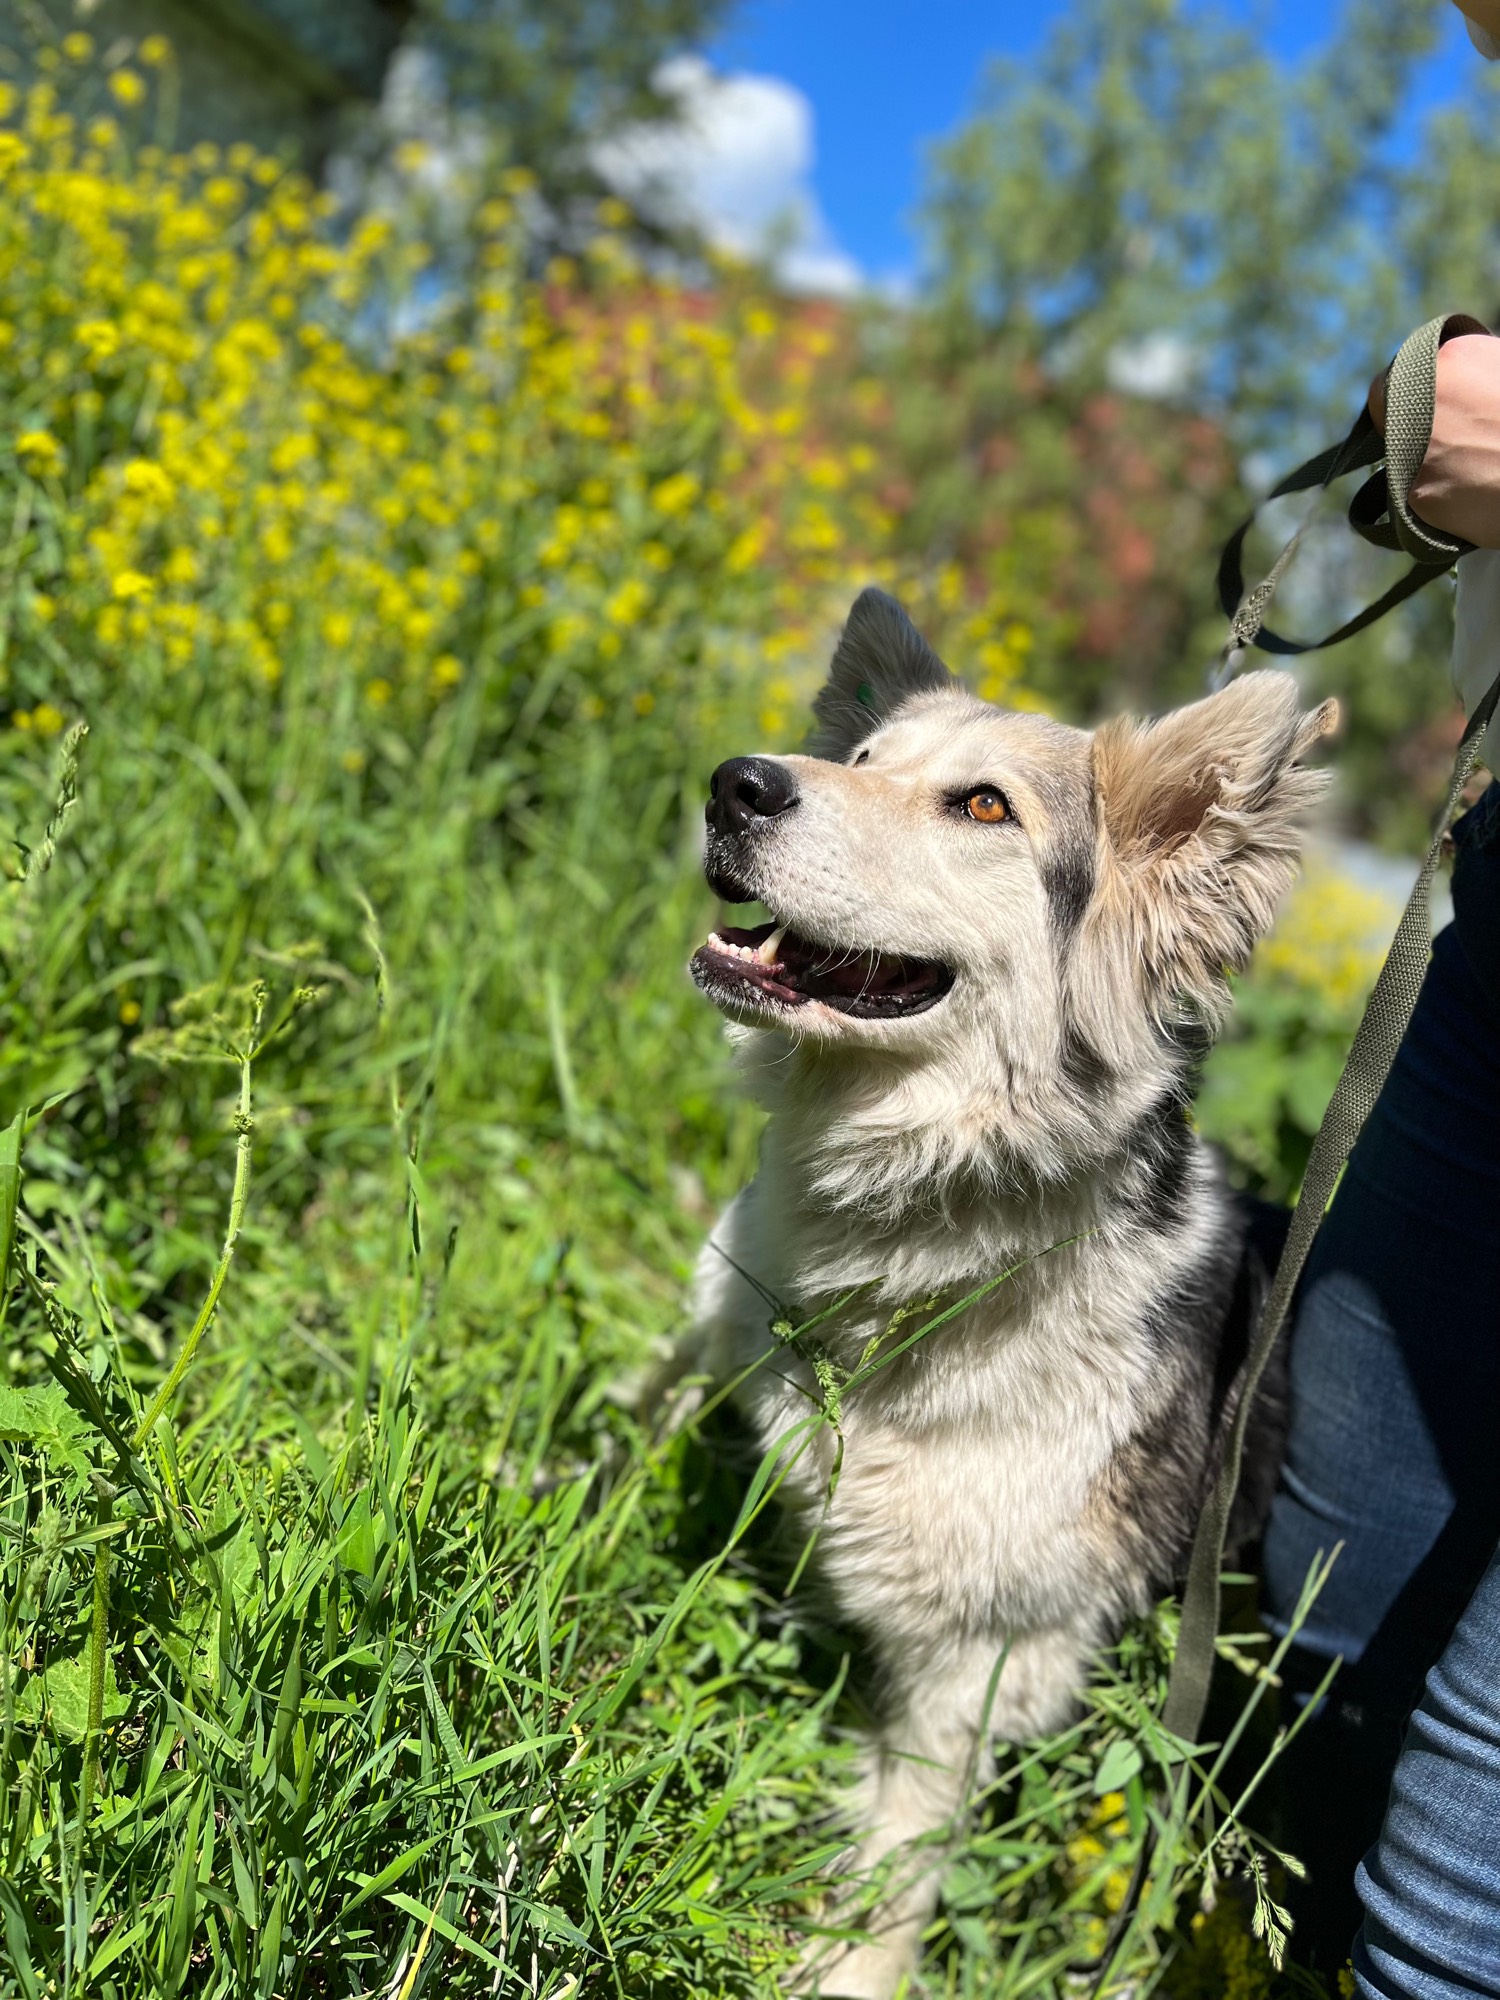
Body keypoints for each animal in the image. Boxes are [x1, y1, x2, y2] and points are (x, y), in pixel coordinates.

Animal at [684, 584, 1336, 1992]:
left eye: (982, 806)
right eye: (864, 759)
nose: (736, 783)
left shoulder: (991, 1659)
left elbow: (900, 1860)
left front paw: (850, 1974)